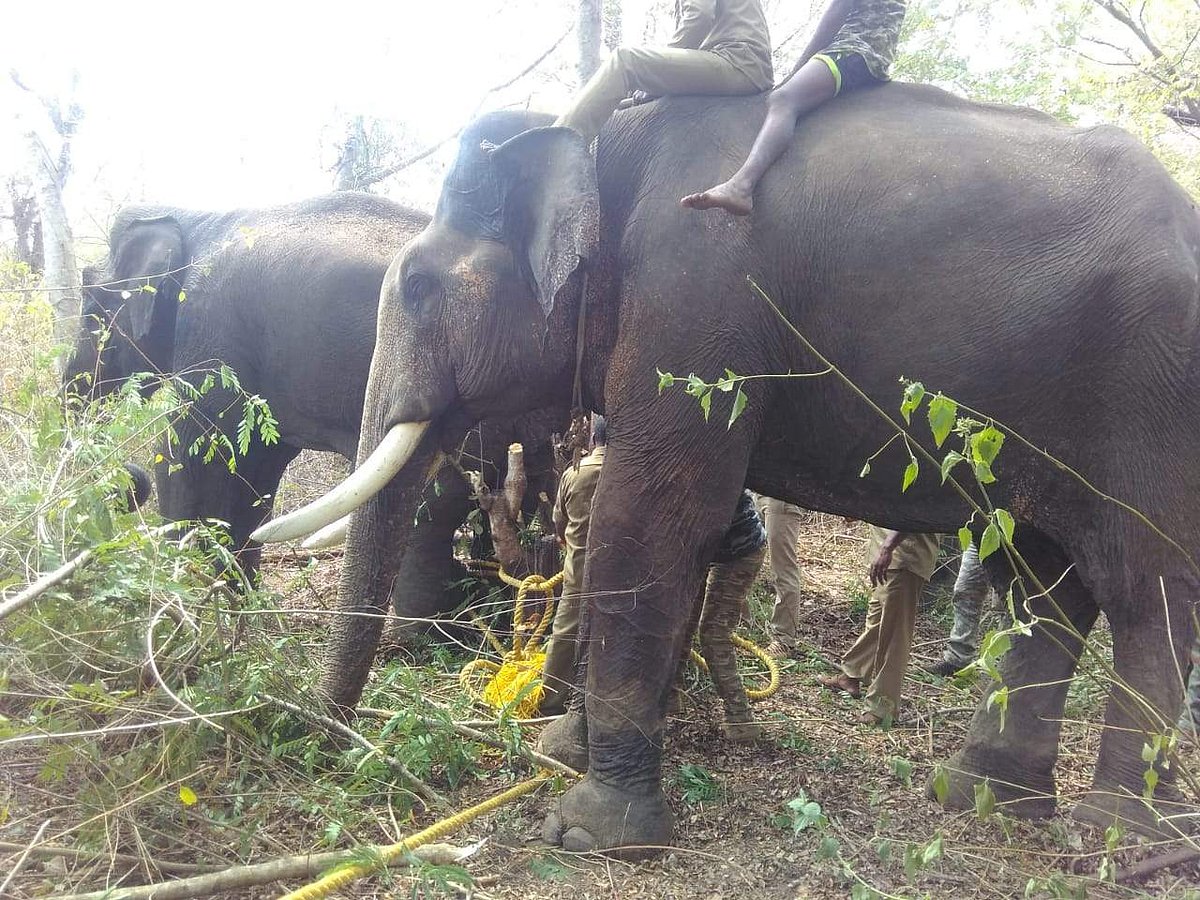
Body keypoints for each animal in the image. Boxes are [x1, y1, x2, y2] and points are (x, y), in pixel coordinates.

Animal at [64, 193, 561, 630]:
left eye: (90, 310)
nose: (125, 482)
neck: (192, 214)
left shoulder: (213, 327)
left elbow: (190, 456)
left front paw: (189, 610)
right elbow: (254, 476)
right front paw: (239, 607)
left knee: (433, 503)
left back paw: (419, 638)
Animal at [257, 83, 1200, 855]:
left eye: (417, 286)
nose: (323, 744)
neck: (595, 134)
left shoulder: (695, 301)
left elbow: (651, 517)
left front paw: (589, 832)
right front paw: (564, 751)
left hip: (1152, 397)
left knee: (1144, 588)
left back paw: (1117, 841)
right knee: (1046, 579)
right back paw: (980, 799)